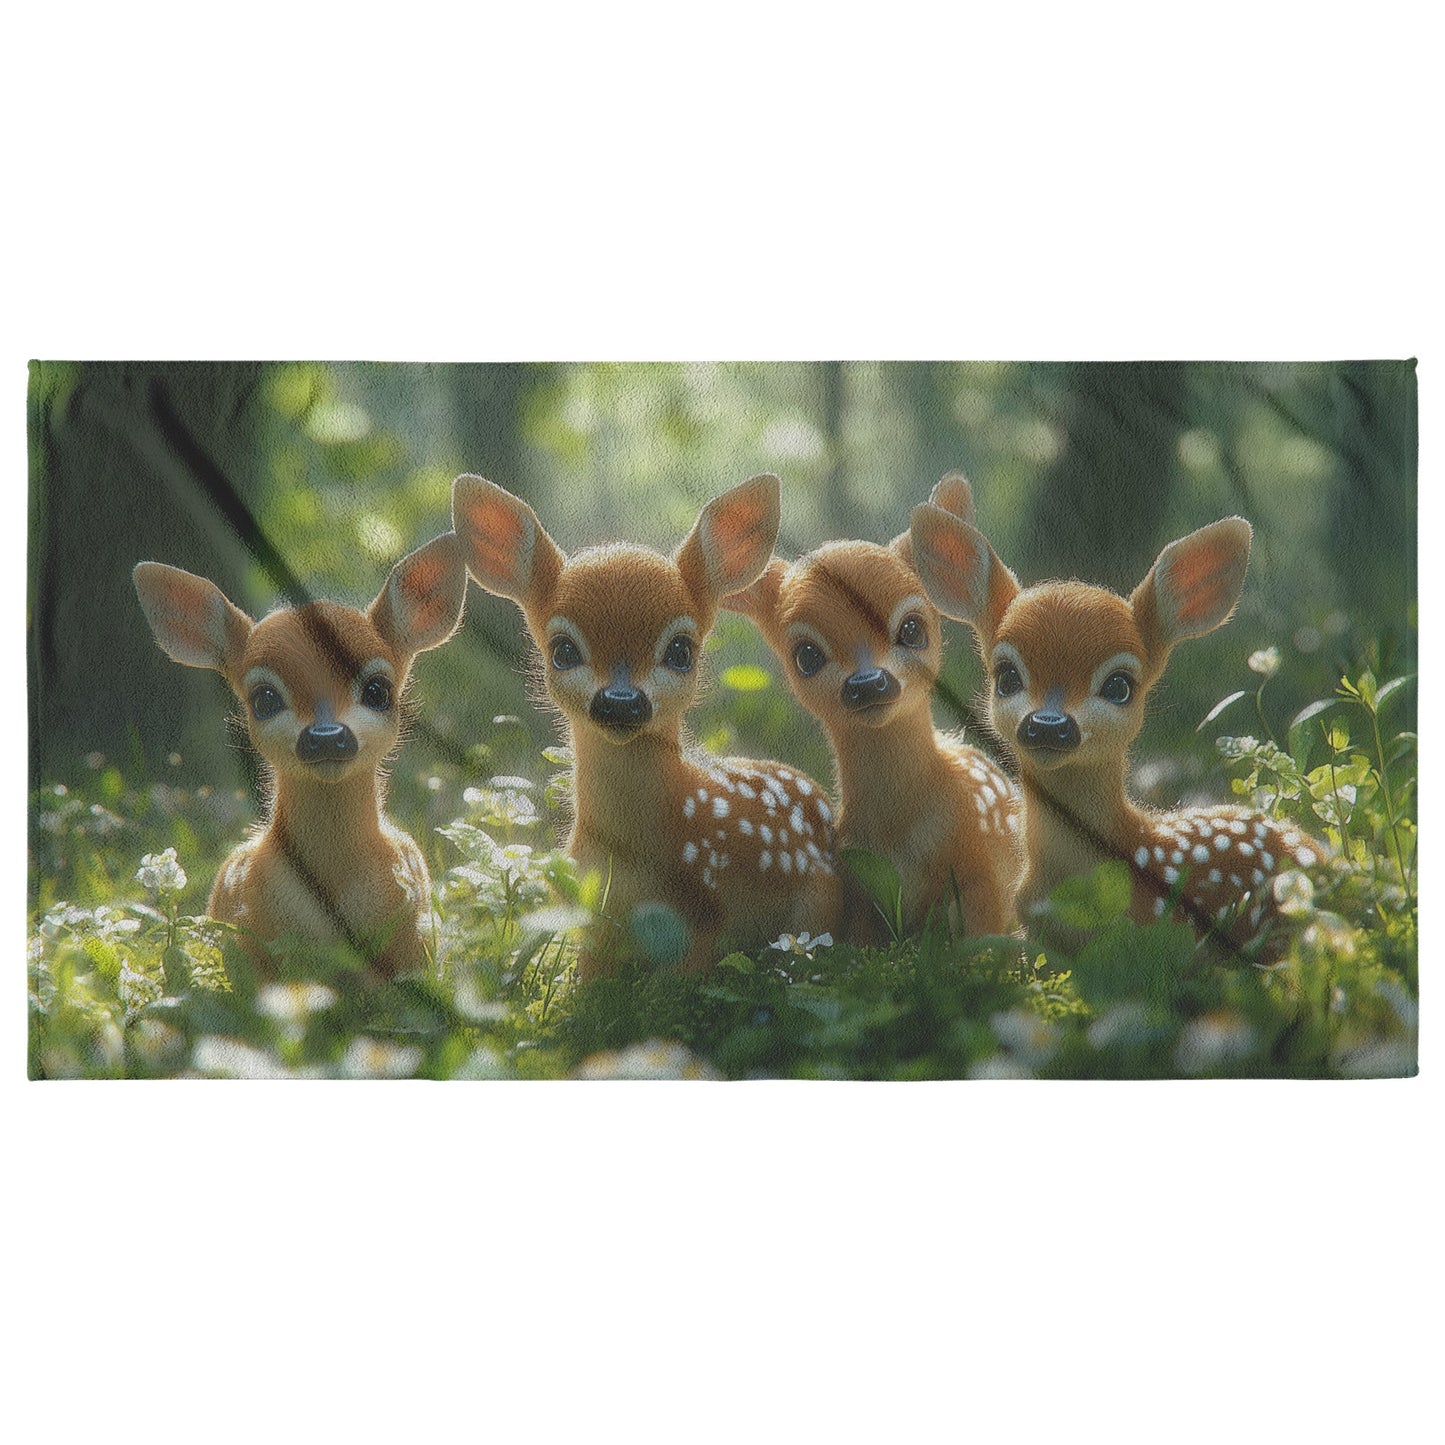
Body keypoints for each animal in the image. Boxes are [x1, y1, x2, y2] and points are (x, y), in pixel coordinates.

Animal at [722, 474, 1022, 941]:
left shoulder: (982, 868)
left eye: (912, 629)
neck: (901, 832)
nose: (867, 683)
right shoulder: (860, 889)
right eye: (807, 654)